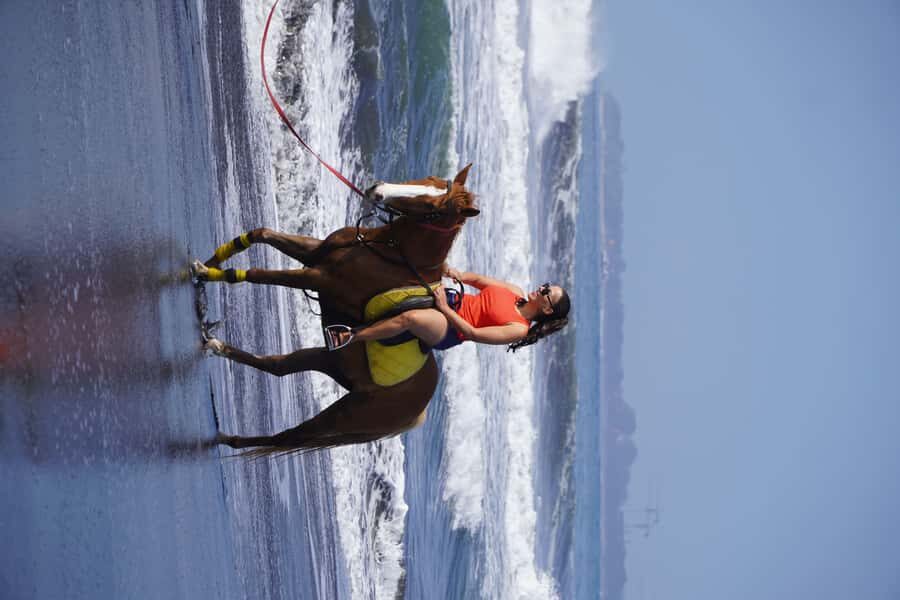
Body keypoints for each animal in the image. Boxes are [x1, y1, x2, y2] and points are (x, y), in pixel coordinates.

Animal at [197, 165, 477, 455]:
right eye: (432, 179)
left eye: (434, 209)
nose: (377, 190)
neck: (387, 251)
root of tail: (419, 412)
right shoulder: (313, 253)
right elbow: (260, 234)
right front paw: (213, 261)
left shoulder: (317, 278)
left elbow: (258, 275)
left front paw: (208, 273)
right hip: (330, 361)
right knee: (278, 367)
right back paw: (218, 351)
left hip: (343, 415)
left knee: (288, 436)